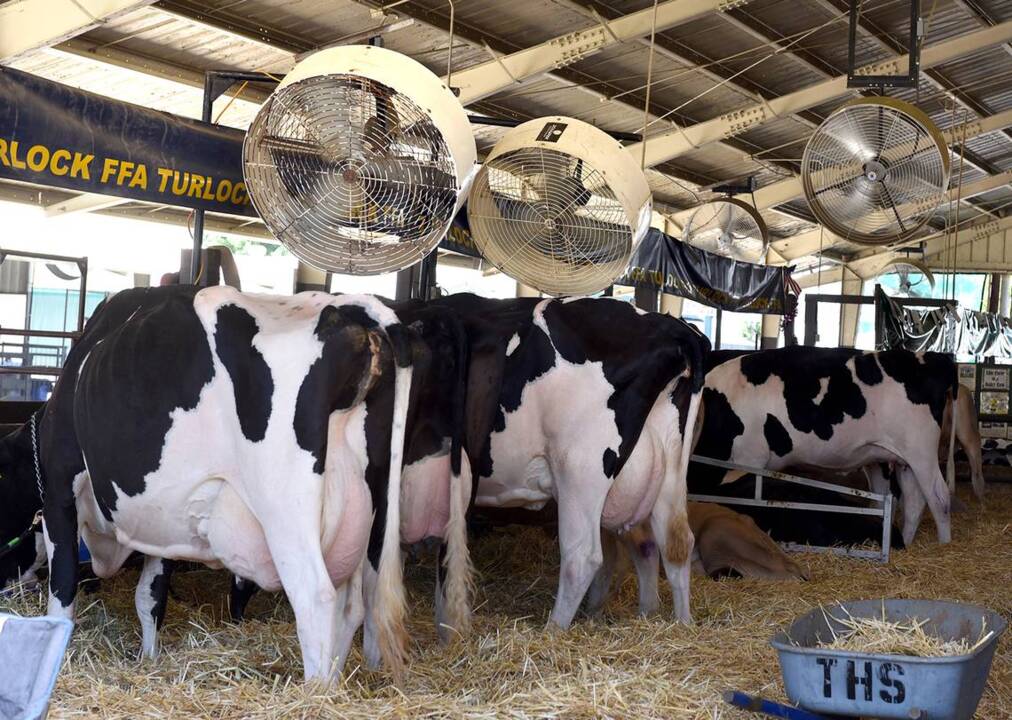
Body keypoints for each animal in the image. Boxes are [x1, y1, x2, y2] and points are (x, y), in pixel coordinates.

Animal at [0, 285, 419, 683]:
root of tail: (347, 309)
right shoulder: (161, 522)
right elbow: (149, 597)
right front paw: (149, 659)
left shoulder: (59, 495)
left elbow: (63, 593)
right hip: (362, 521)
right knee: (352, 607)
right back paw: (332, 684)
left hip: (286, 510)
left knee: (316, 599)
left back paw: (315, 693)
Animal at [428, 294, 710, 626]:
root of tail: (673, 327)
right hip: (668, 472)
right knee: (673, 544)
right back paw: (679, 622)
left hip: (579, 467)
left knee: (583, 556)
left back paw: (553, 629)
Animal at [694, 347, 958, 547]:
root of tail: (935, 357)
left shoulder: (748, 459)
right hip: (903, 460)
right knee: (914, 502)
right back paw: (906, 541)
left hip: (921, 453)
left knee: (940, 497)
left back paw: (944, 545)